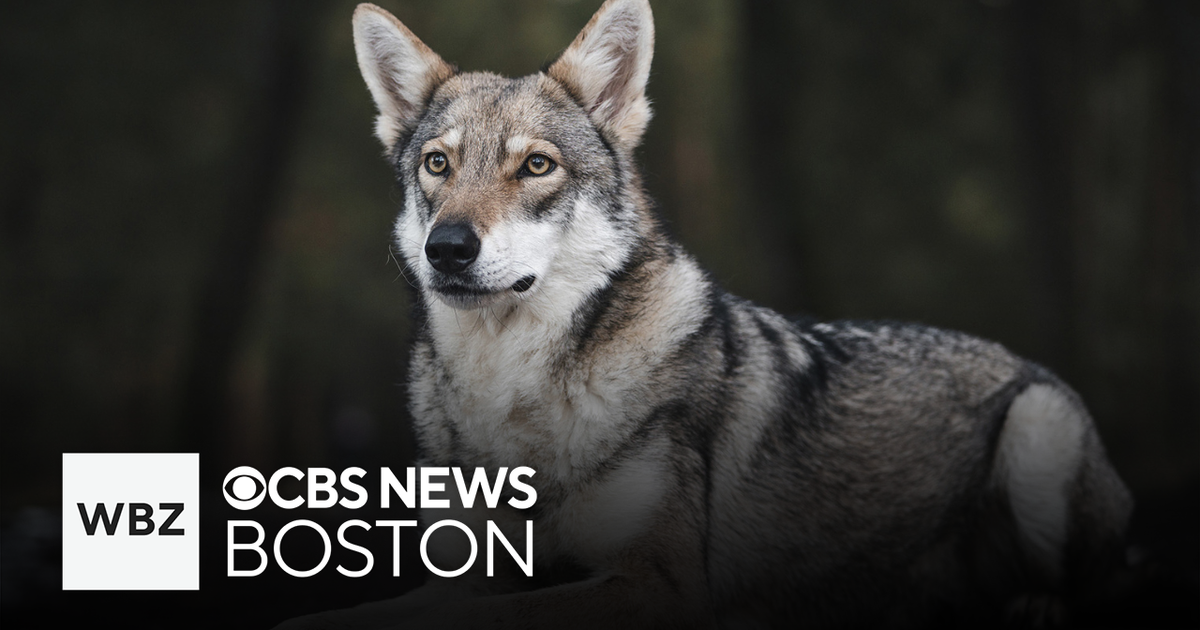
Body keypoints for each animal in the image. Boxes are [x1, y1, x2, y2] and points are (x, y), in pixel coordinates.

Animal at [280, 0, 1133, 627]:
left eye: (536, 166)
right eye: (438, 165)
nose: (448, 248)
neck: (514, 397)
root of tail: (1016, 355)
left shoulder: (657, 580)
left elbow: (486, 617)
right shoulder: (467, 575)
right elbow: (348, 614)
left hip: (1038, 427)